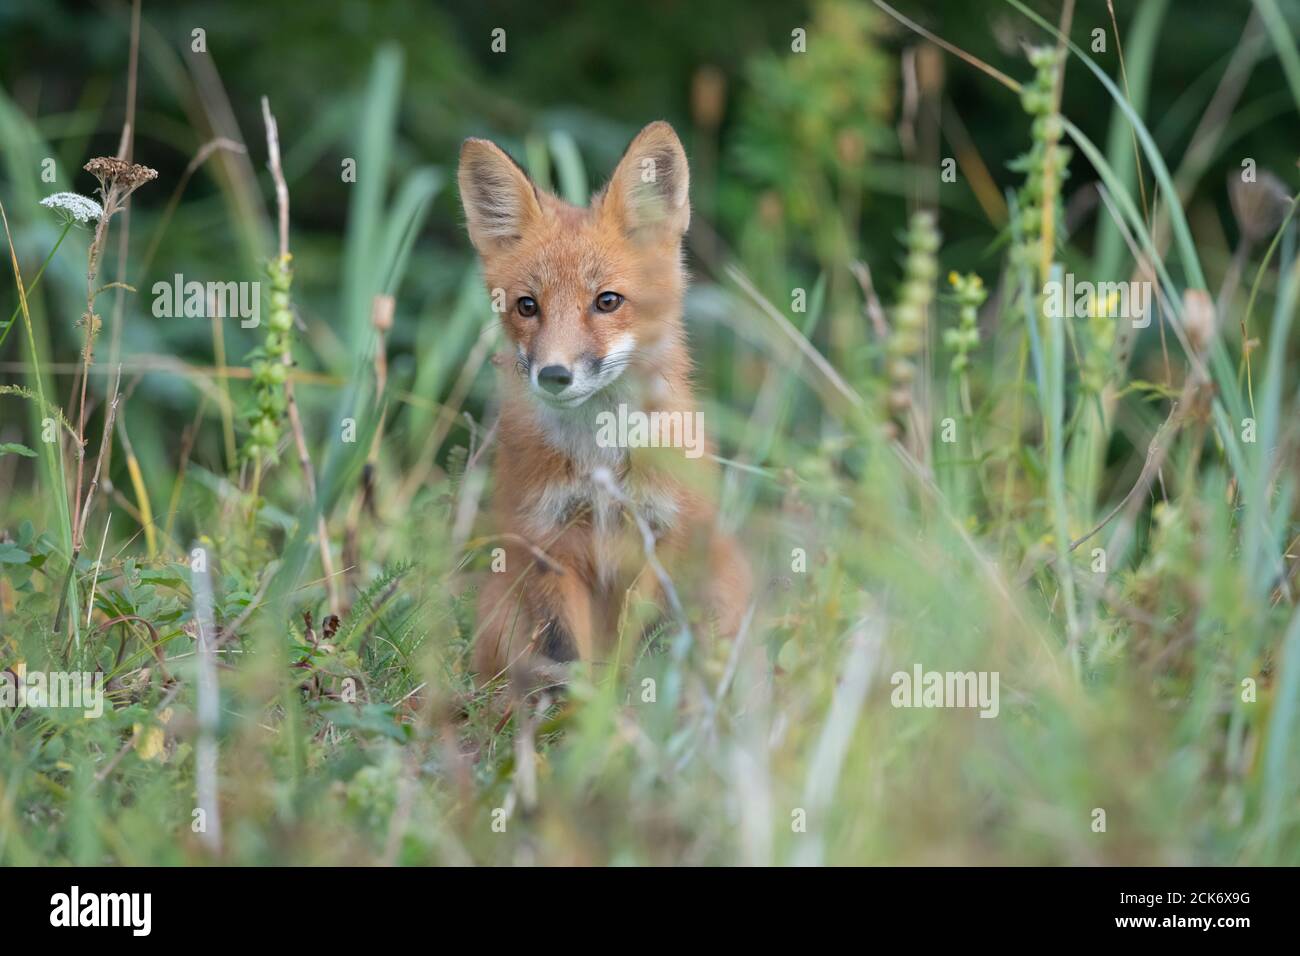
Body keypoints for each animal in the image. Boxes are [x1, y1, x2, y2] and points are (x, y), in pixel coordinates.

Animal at [457, 120, 751, 686]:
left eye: (607, 301)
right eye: (528, 306)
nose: (554, 375)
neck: (601, 460)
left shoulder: (664, 537)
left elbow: (635, 642)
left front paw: (625, 701)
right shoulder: (547, 541)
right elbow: (571, 651)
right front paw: (590, 705)